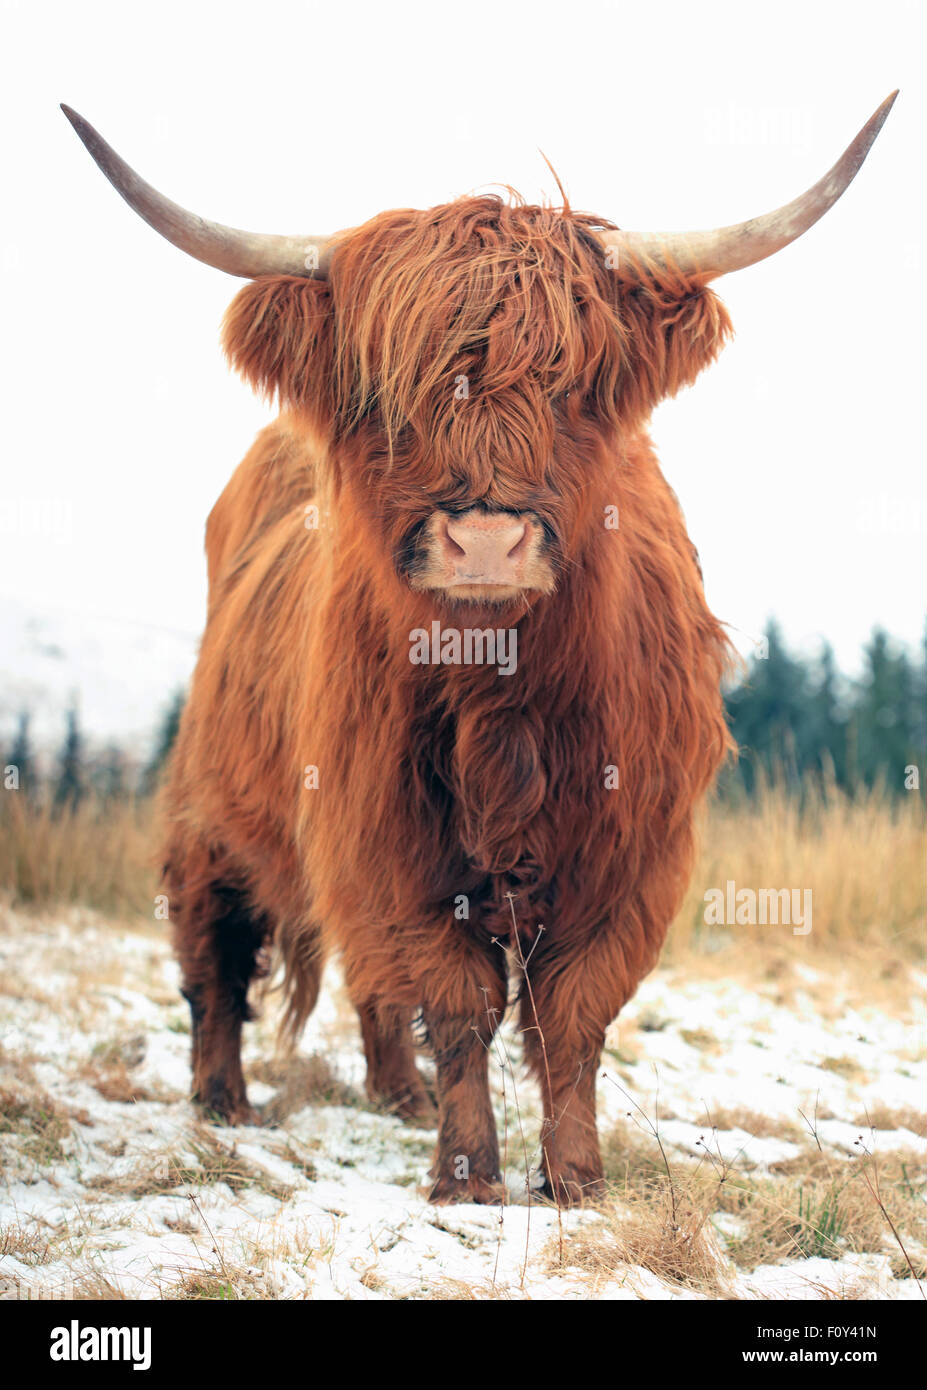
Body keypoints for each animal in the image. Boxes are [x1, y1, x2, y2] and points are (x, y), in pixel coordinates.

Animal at [63, 95, 895, 1205]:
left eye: (571, 383)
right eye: (390, 394)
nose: (488, 541)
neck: (502, 693)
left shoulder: (632, 853)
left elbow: (572, 1011)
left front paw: (575, 1178)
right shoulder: (390, 831)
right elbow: (456, 998)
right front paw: (467, 1176)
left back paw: (395, 1094)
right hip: (212, 801)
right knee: (217, 949)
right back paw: (221, 1100)